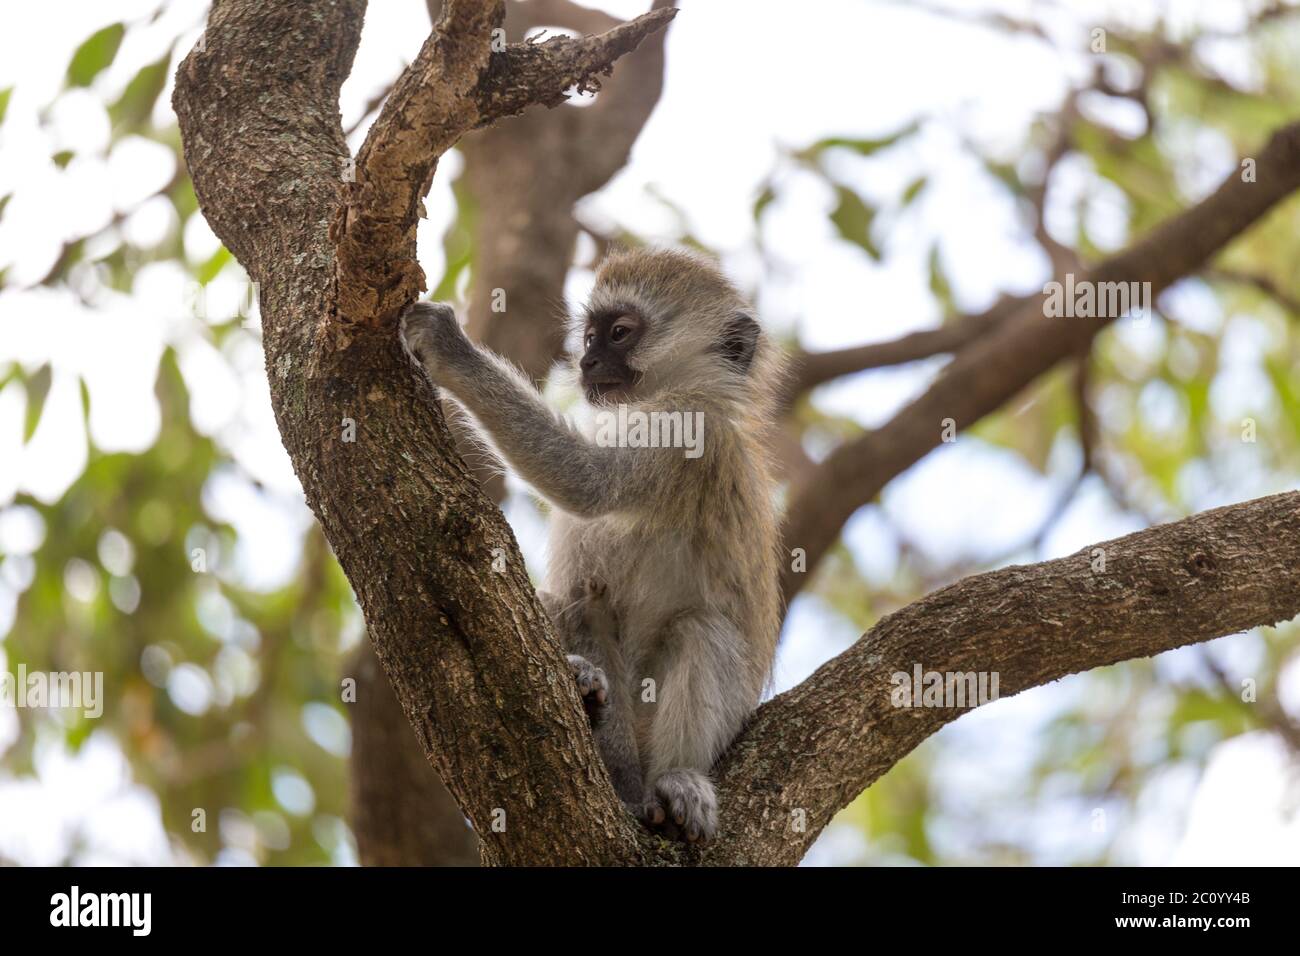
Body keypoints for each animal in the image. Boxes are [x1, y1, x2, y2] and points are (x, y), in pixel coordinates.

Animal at [400, 248, 784, 843]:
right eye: (589, 337)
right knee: (570, 604)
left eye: (620, 333)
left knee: (703, 631)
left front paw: (449, 347)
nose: (585, 362)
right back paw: (589, 700)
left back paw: (675, 784)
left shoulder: (685, 430)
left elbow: (587, 482)